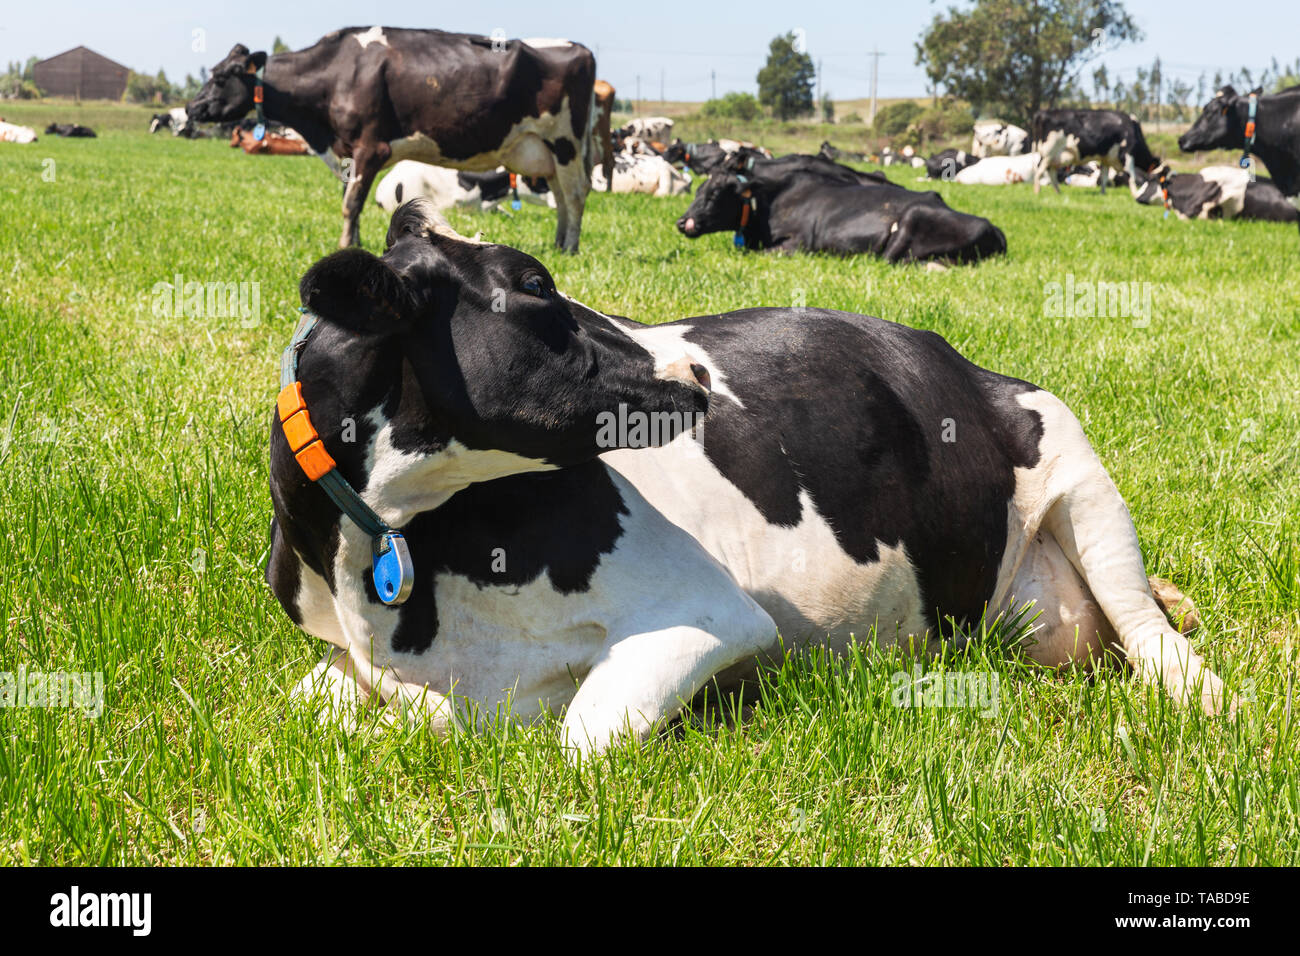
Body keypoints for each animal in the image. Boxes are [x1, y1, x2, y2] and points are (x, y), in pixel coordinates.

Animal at [270, 198, 1231, 759]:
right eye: (536, 285)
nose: (695, 368)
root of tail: (966, 364)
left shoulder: (703, 609)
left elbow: (573, 737)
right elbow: (313, 702)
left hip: (1075, 468)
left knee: (1151, 636)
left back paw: (1202, 691)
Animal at [676, 168, 1006, 264]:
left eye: (714, 194)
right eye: (696, 191)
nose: (682, 222)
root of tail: (993, 226)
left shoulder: (800, 243)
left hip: (914, 216)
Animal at [1031, 109, 1162, 195]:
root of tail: (1042, 113)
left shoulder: (1106, 159)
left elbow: (1104, 177)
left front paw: (1103, 193)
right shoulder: (1127, 155)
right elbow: (1132, 177)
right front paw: (1135, 194)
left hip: (1057, 155)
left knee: (1051, 171)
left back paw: (1058, 191)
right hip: (1049, 151)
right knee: (1040, 169)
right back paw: (1037, 191)